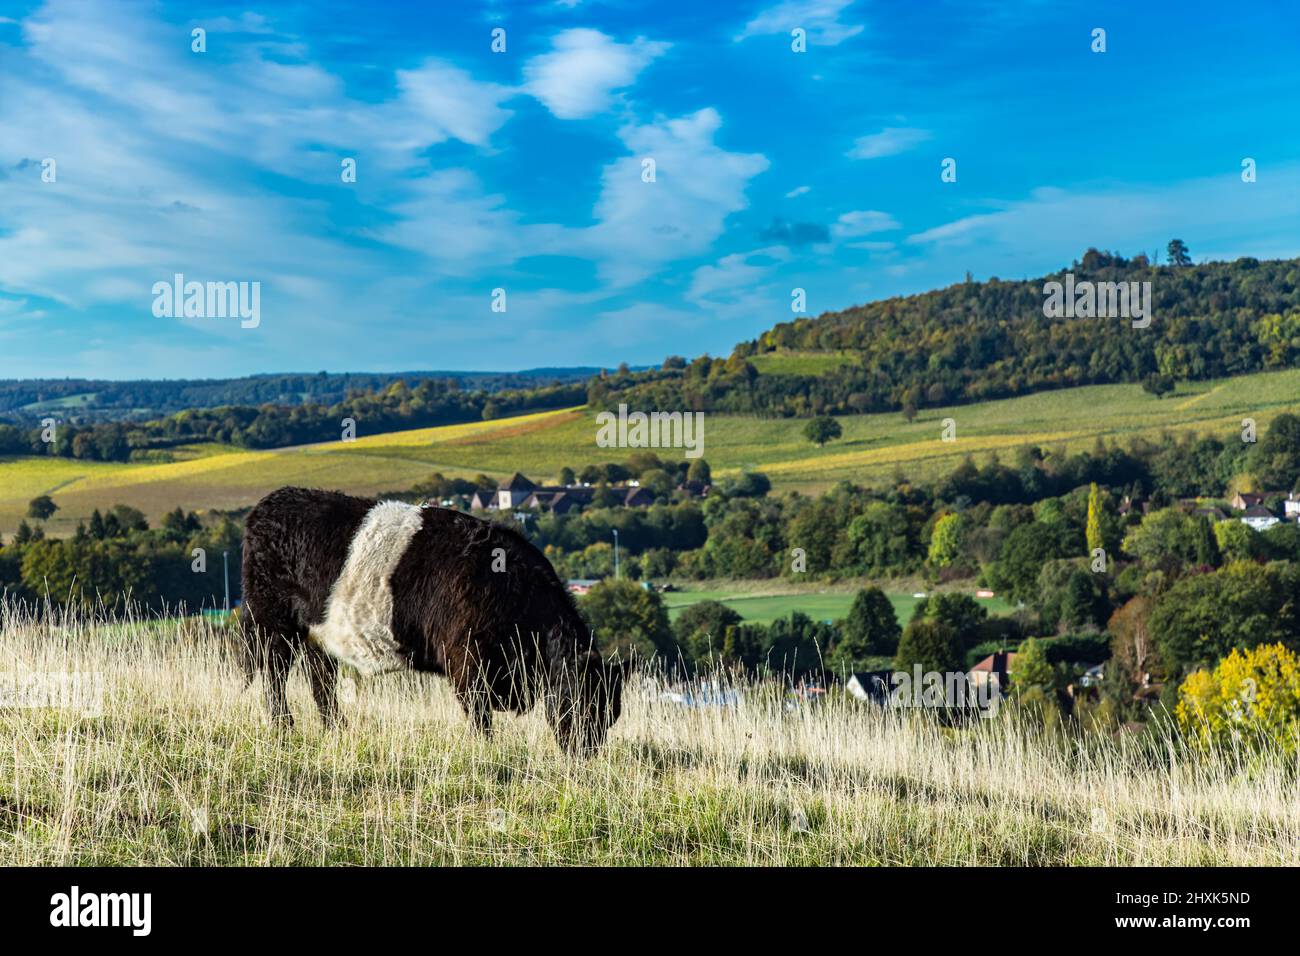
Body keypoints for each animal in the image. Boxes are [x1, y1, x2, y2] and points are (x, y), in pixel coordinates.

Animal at [239, 486, 629, 754]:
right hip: (273, 622)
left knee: (320, 678)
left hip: (318, 631)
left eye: (609, 713)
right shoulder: (467, 663)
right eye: (583, 703)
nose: (585, 754)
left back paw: (336, 729)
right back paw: (284, 726)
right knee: (275, 675)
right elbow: (480, 717)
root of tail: (270, 502)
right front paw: (485, 752)